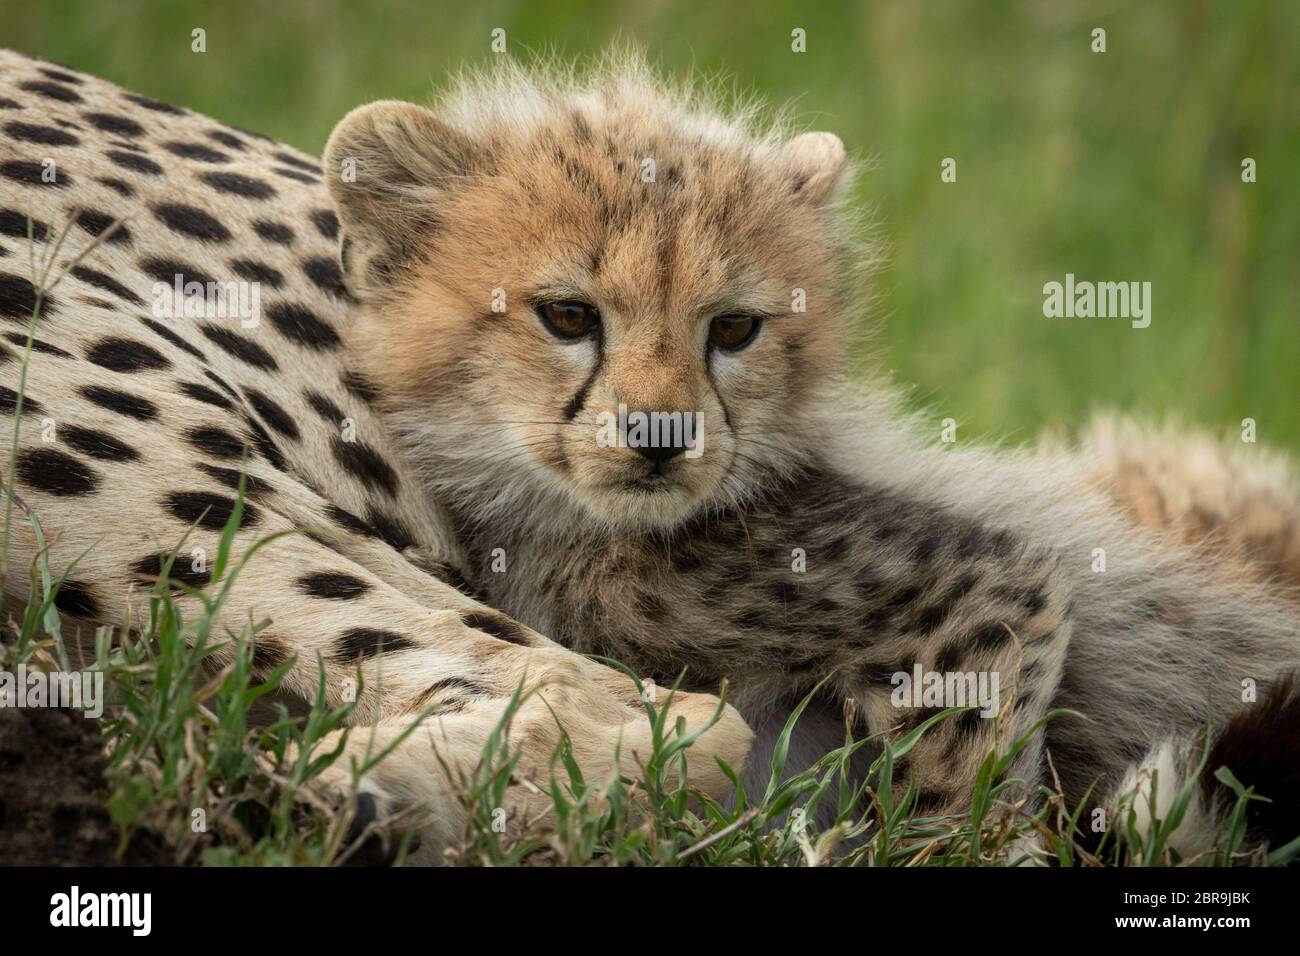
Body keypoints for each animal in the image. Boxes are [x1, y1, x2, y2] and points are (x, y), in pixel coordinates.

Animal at [0, 46, 1296, 863]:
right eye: (568, 315)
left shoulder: (984, 579)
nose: (663, 435)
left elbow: (942, 777)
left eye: (735, 329)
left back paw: (354, 793)